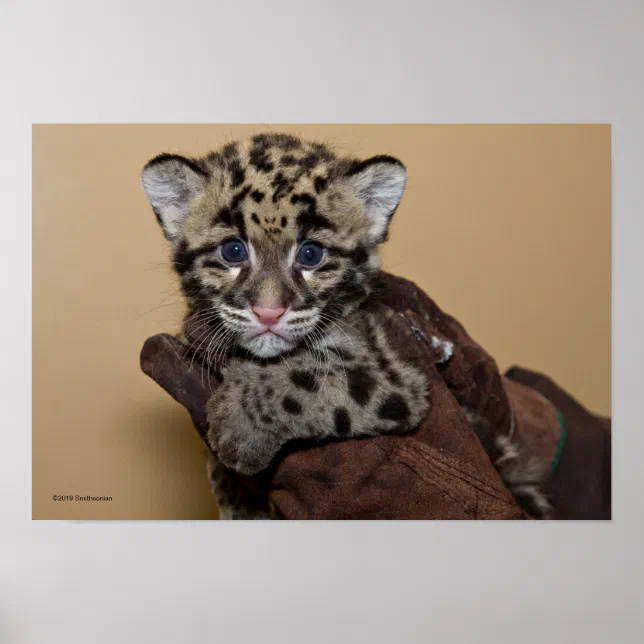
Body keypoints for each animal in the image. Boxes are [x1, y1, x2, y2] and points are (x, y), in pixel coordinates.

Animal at [141, 132, 552, 520]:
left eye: (311, 254)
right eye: (233, 251)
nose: (269, 312)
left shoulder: (397, 369)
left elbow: (311, 382)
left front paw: (238, 426)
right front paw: (236, 497)